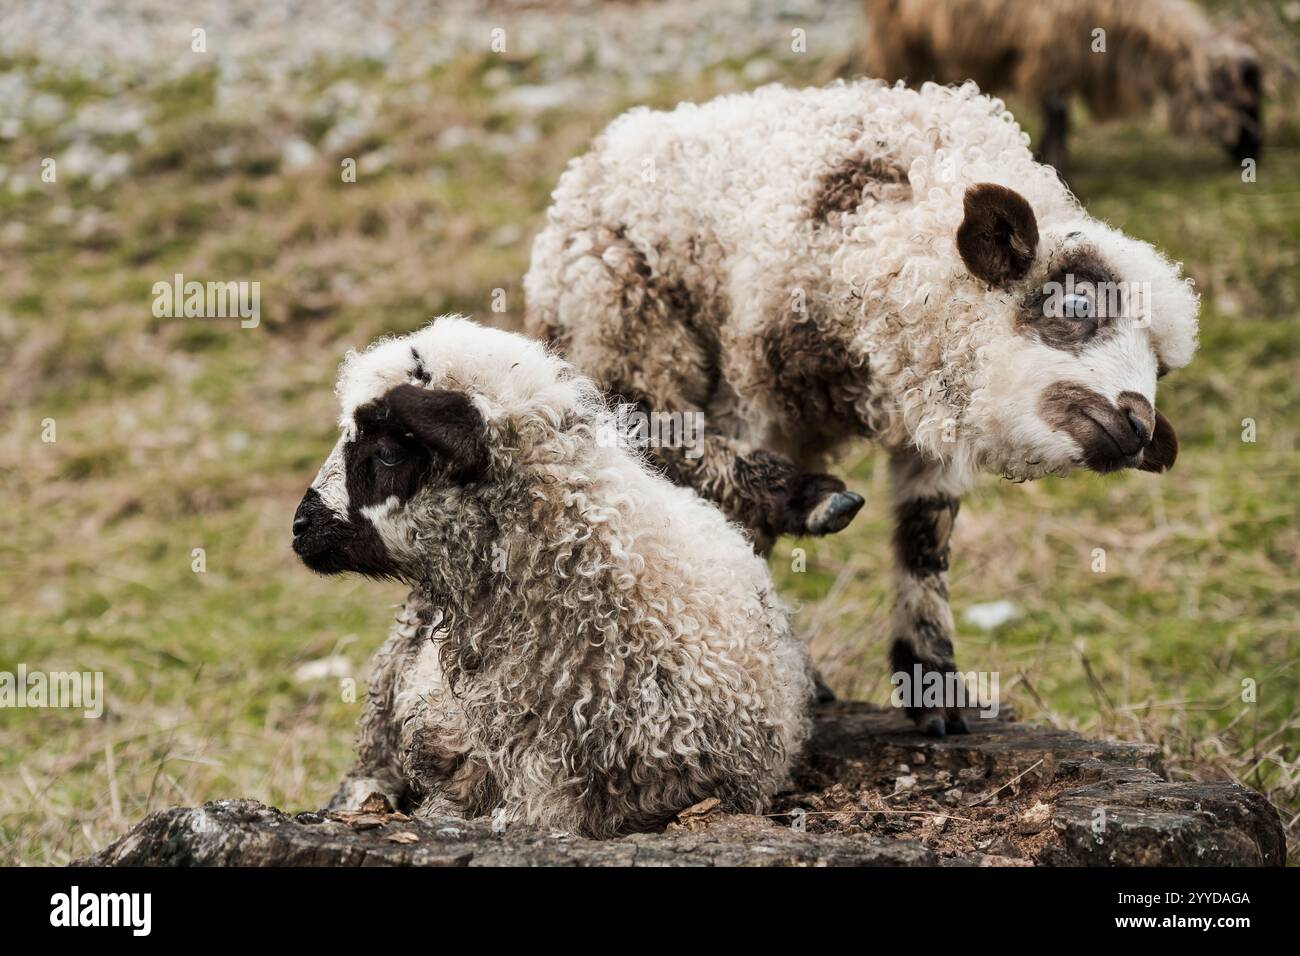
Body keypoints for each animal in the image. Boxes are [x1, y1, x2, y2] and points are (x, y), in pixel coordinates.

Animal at [523, 79, 1199, 736]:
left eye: (1160, 367)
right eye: (1075, 305)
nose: (1140, 429)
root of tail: (600, 151)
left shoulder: (930, 413)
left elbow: (925, 540)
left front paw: (935, 687)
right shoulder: (751, 384)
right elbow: (738, 522)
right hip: (623, 319)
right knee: (657, 435)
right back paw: (807, 501)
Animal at [862, 0, 1263, 177]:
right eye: (1244, 102)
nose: (1254, 154)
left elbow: (1059, 114)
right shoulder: (1050, 51)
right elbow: (1057, 113)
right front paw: (1053, 162)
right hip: (899, 34)